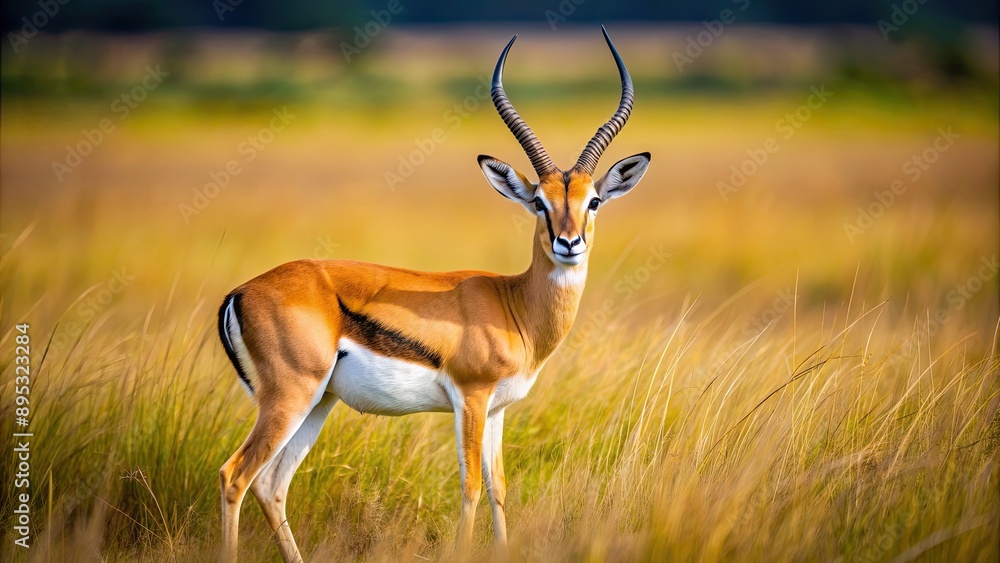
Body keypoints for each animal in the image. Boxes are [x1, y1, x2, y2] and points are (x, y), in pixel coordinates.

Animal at [217, 26, 650, 562]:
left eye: (593, 201)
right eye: (538, 202)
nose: (568, 243)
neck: (514, 305)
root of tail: (241, 291)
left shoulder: (498, 409)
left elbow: (498, 488)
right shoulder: (471, 398)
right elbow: (470, 487)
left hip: (318, 403)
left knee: (272, 483)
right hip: (289, 398)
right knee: (235, 475)